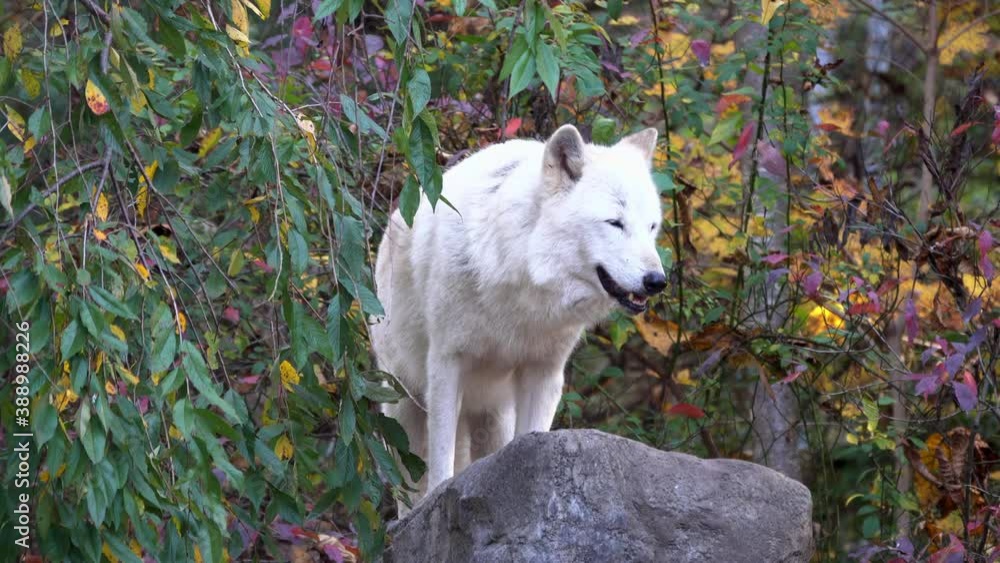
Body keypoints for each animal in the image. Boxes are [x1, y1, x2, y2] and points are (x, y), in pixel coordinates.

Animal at [370, 124, 665, 513]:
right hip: (404, 404)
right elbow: (441, 457)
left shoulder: (544, 371)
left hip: (493, 413)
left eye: (652, 227)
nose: (657, 281)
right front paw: (439, 499)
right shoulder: (446, 364)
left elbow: (532, 436)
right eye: (614, 223)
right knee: (410, 484)